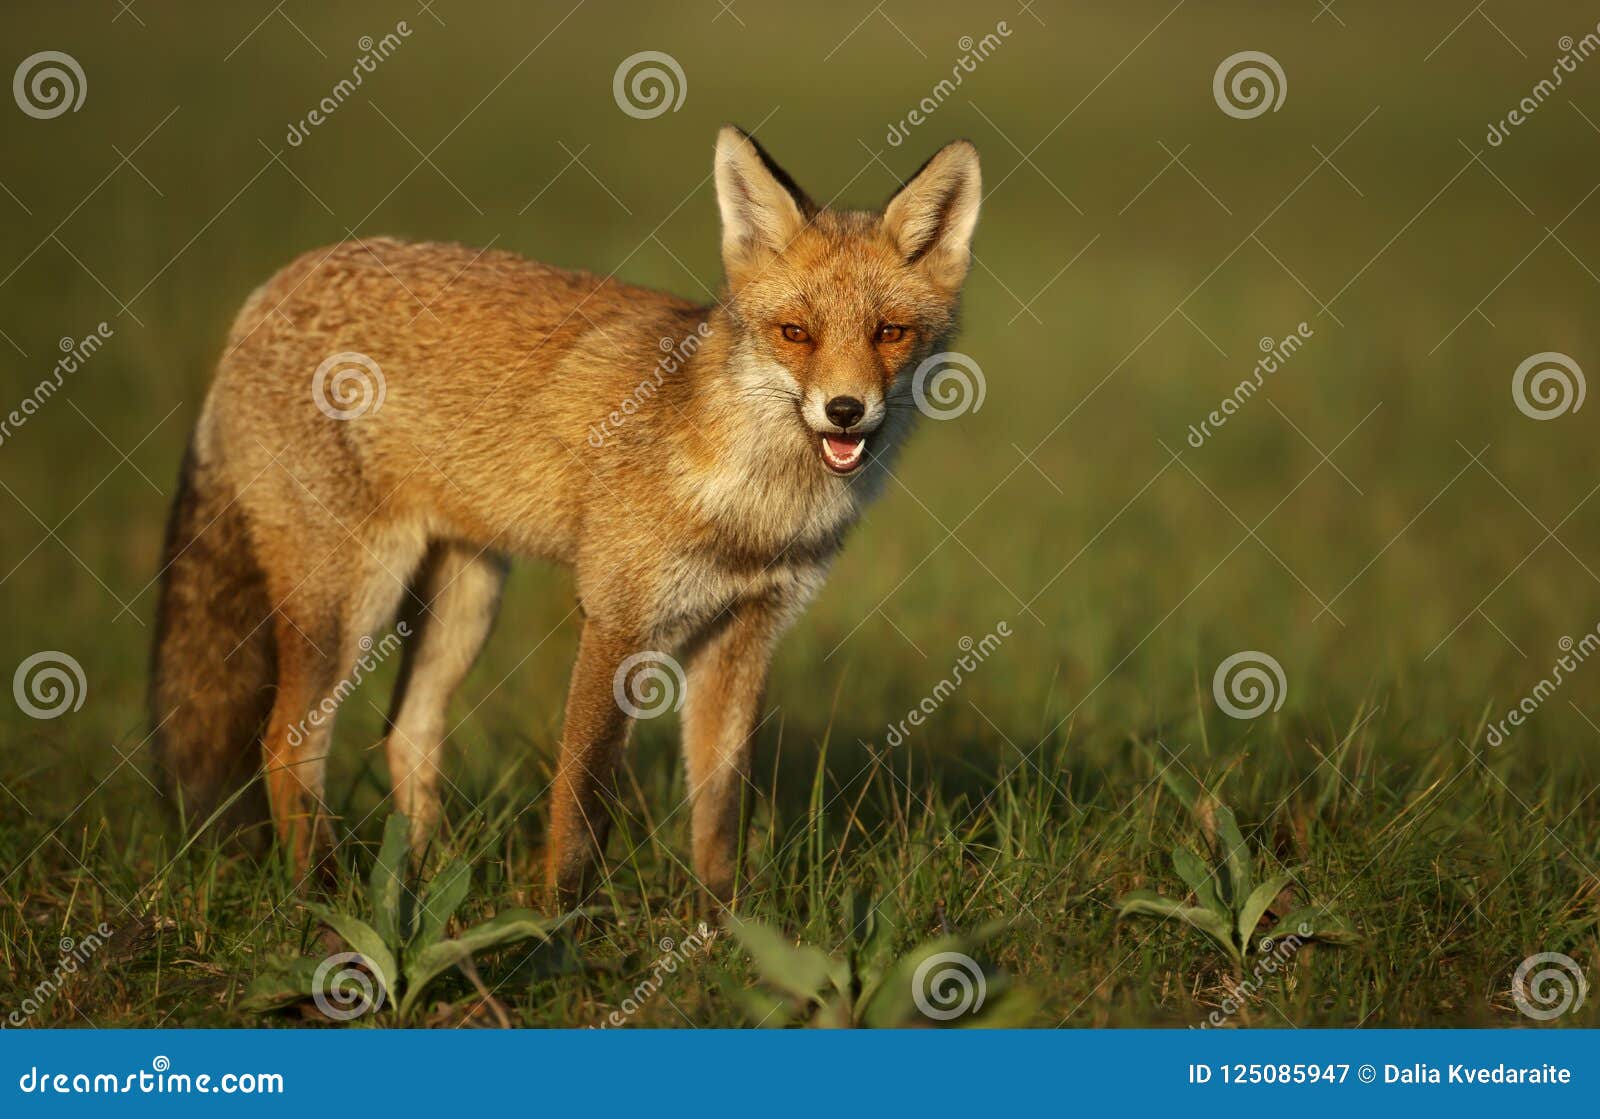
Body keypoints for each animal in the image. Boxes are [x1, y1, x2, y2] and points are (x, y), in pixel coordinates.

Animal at [149, 125, 982, 906]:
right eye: (795, 334)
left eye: (889, 333)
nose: (845, 411)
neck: (755, 512)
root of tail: (269, 290)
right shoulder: (616, 622)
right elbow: (581, 807)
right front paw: (558, 928)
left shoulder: (744, 633)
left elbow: (717, 811)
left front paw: (721, 924)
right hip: (350, 601)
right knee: (285, 744)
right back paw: (324, 897)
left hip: (464, 601)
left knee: (404, 735)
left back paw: (423, 882)